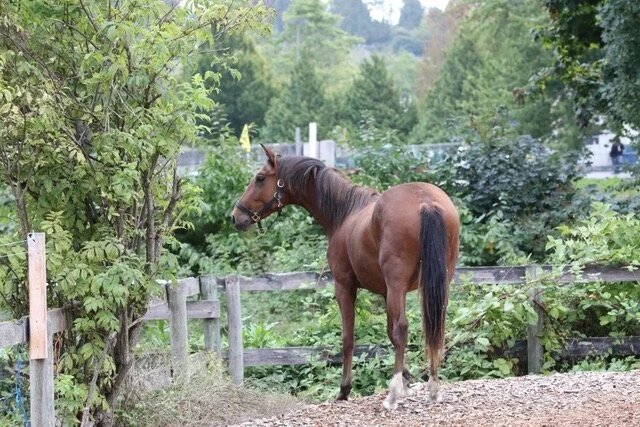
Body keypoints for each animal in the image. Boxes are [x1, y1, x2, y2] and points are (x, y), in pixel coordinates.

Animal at [231, 145, 460, 410]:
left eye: (259, 178)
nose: (236, 216)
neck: (345, 214)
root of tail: (426, 202)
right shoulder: (385, 292)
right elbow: (389, 333)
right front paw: (407, 378)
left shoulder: (345, 287)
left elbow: (349, 337)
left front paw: (345, 389)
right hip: (437, 284)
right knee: (435, 324)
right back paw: (433, 387)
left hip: (398, 285)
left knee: (404, 328)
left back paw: (392, 396)